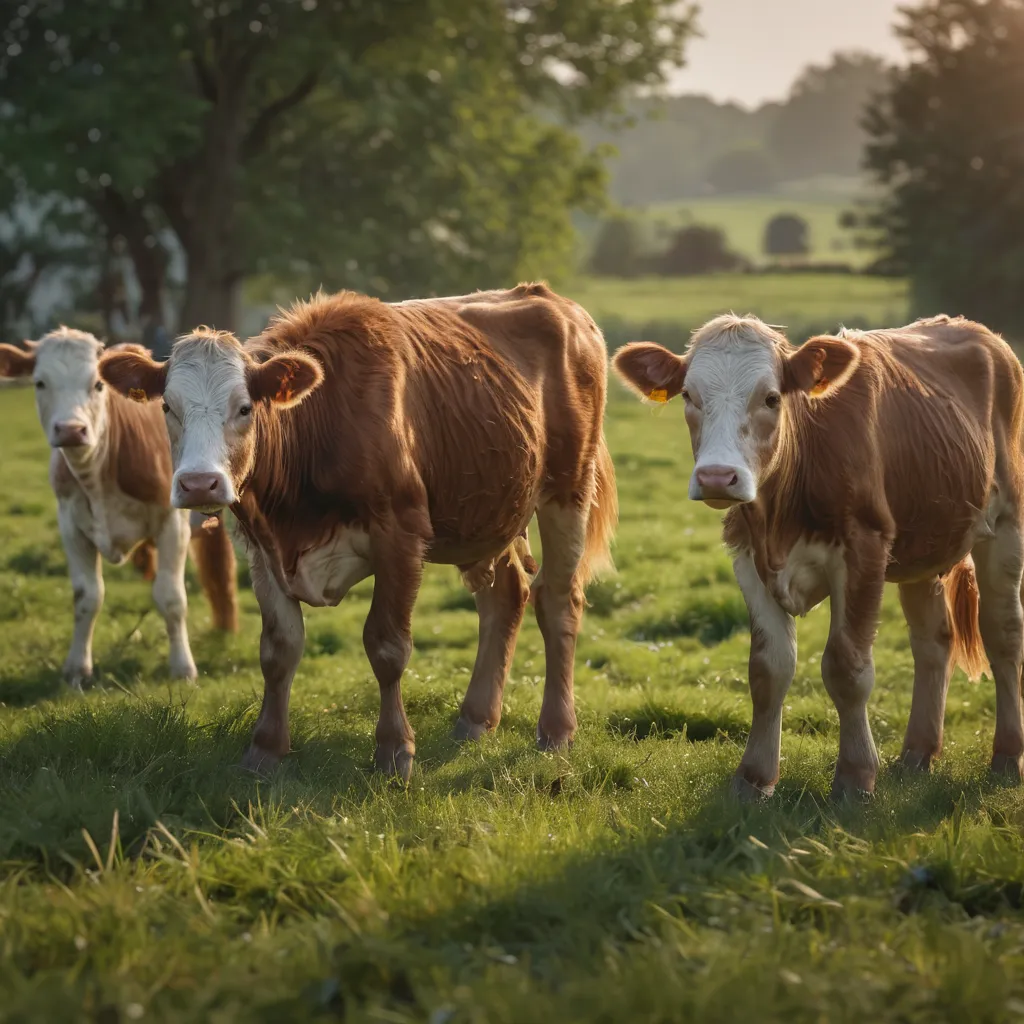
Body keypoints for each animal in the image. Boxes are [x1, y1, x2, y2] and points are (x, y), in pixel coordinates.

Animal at [0, 328, 239, 689]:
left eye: (98, 384)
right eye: (40, 383)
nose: (71, 430)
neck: (98, 475)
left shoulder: (173, 523)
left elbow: (172, 598)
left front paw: (183, 667)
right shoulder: (70, 525)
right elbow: (86, 597)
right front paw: (77, 669)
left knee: (218, 567)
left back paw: (225, 625)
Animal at [98, 284, 617, 780]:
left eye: (244, 408)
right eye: (168, 407)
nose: (198, 483)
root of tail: (555, 302)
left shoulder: (401, 535)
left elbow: (386, 647)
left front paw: (394, 751)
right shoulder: (262, 548)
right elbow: (278, 650)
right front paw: (265, 750)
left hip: (568, 490)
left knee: (557, 601)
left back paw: (556, 729)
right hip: (490, 507)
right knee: (505, 597)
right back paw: (474, 718)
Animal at [613, 313, 1023, 799]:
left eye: (771, 397)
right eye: (690, 396)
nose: (716, 477)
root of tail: (975, 329)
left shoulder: (864, 550)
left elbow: (847, 667)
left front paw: (855, 777)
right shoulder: (746, 555)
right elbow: (767, 669)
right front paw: (754, 778)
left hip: (1006, 524)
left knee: (1003, 633)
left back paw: (1007, 757)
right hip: (925, 540)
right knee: (933, 641)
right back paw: (917, 754)